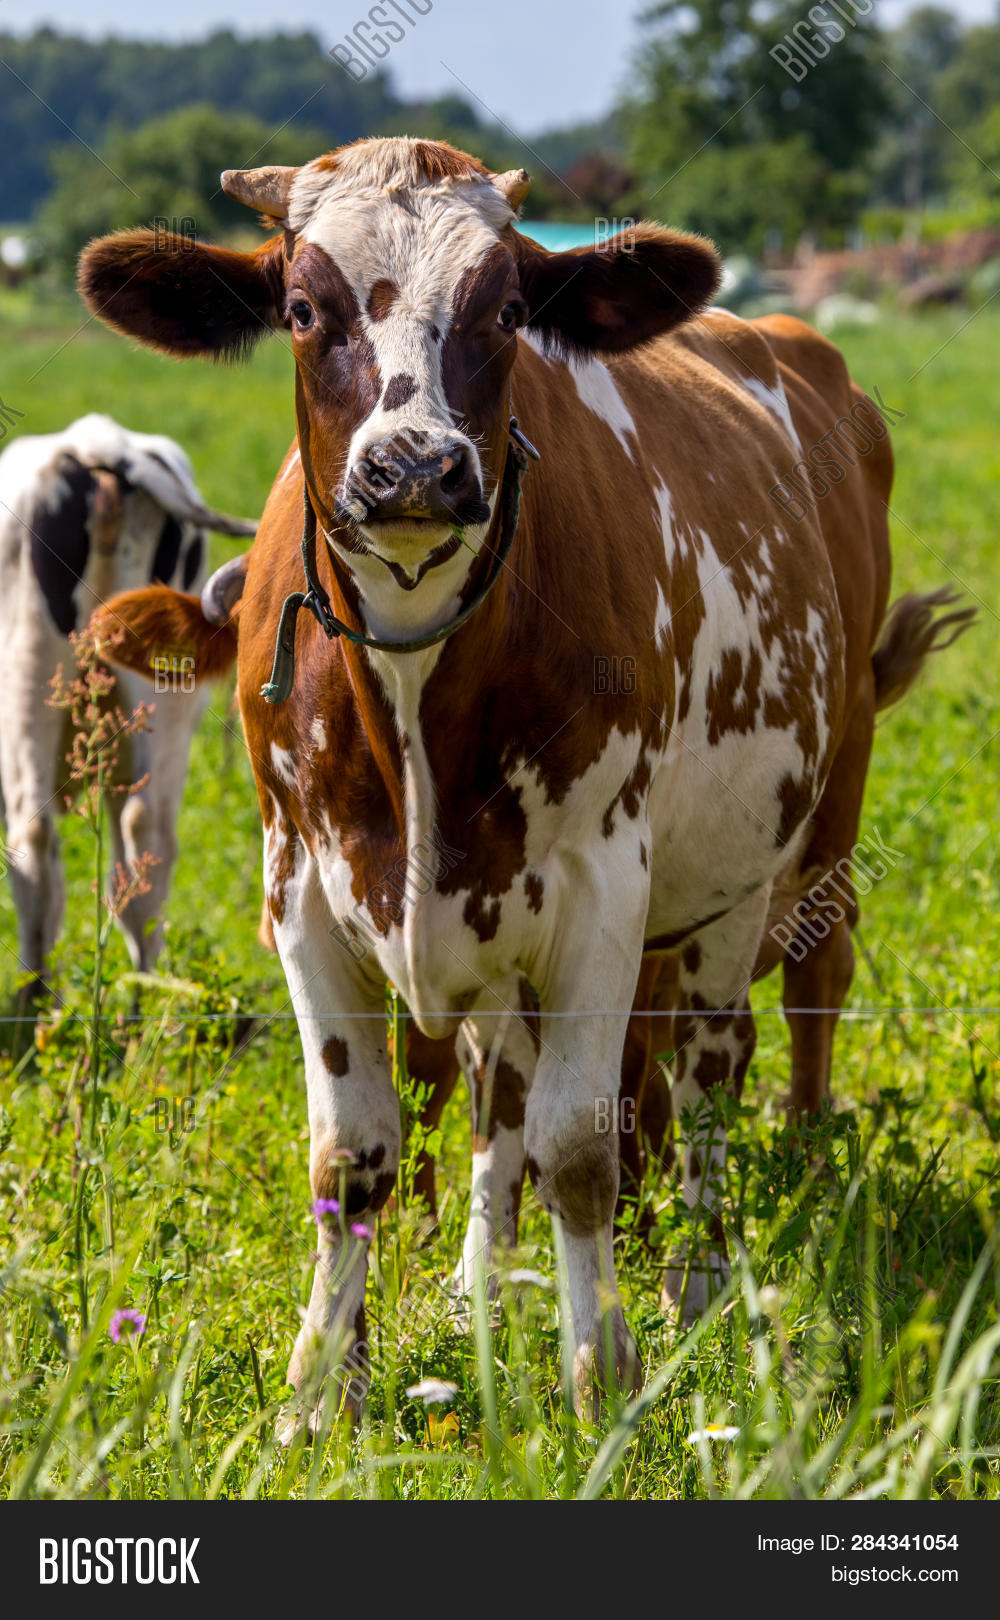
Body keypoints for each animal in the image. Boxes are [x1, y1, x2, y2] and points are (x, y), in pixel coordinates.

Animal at [0, 414, 256, 1001]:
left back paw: (35, 1006)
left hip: (25, 693)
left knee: (34, 846)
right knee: (145, 849)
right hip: (164, 704)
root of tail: (101, 443)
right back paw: (142, 1001)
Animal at [78, 137, 972, 1428]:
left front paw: (602, 1380)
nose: (414, 464)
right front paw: (321, 1391)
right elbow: (353, 1155)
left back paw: (697, 1290)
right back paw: (477, 1293)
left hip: (776, 855)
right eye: (301, 308)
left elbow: (582, 1151)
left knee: (723, 1062)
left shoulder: (604, 887)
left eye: (504, 310)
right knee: (500, 1093)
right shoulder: (301, 890)